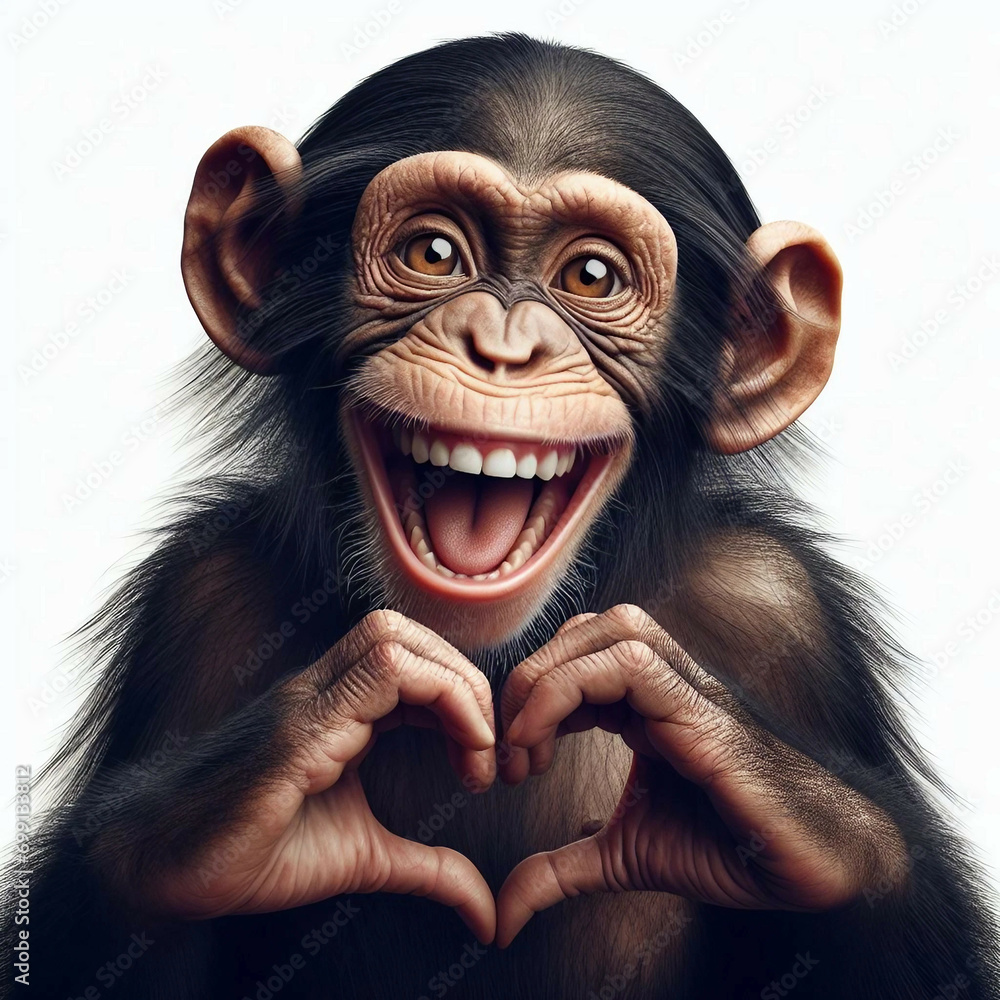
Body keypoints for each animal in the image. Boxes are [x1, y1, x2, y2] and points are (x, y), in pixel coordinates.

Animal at [3, 32, 997, 1000]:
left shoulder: (780, 604)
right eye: (434, 255)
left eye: (591, 275)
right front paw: (239, 791)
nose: (503, 347)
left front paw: (763, 784)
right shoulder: (197, 602)